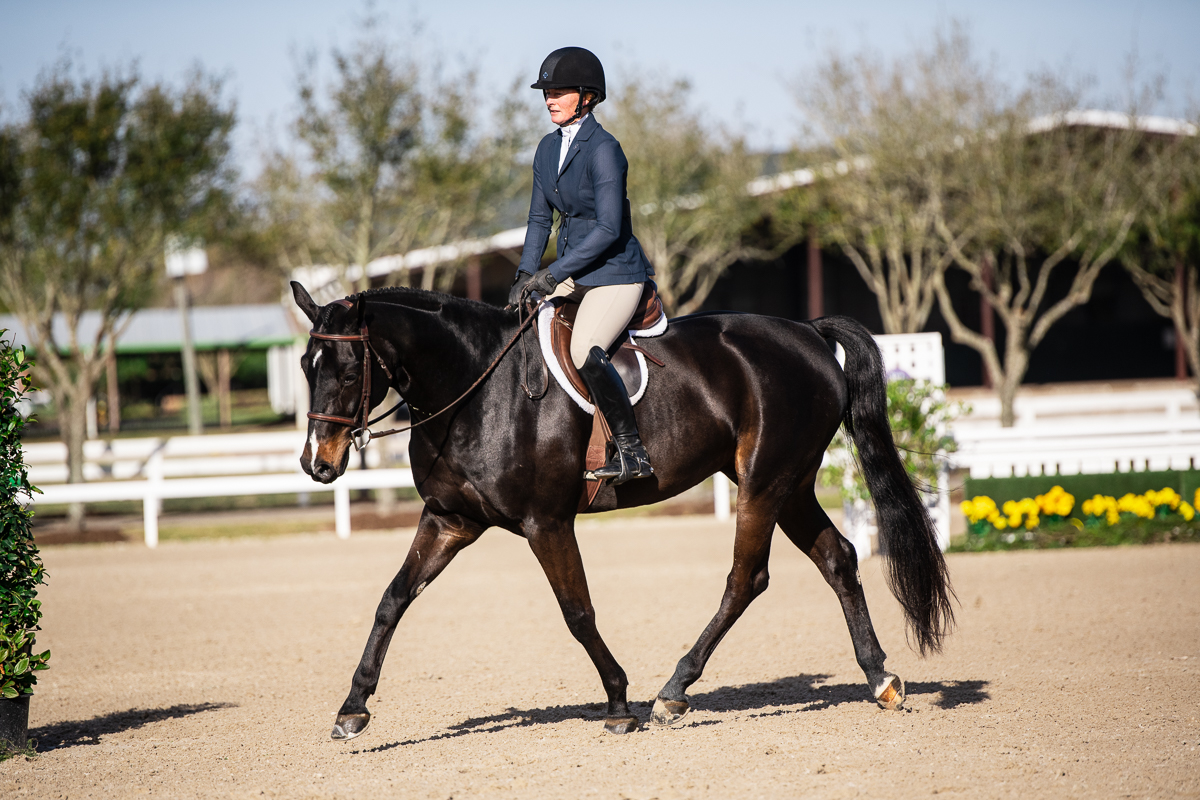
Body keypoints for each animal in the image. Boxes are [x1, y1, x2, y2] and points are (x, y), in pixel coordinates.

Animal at [290, 281, 954, 740]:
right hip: (787, 485)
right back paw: (880, 679)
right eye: (304, 366)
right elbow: (393, 600)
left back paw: (672, 692)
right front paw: (353, 708)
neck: (474, 389)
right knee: (837, 558)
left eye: (347, 369)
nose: (317, 464)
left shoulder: (546, 523)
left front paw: (617, 702)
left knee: (747, 578)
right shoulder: (449, 520)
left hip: (766, 483)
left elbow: (577, 612)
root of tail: (810, 333)